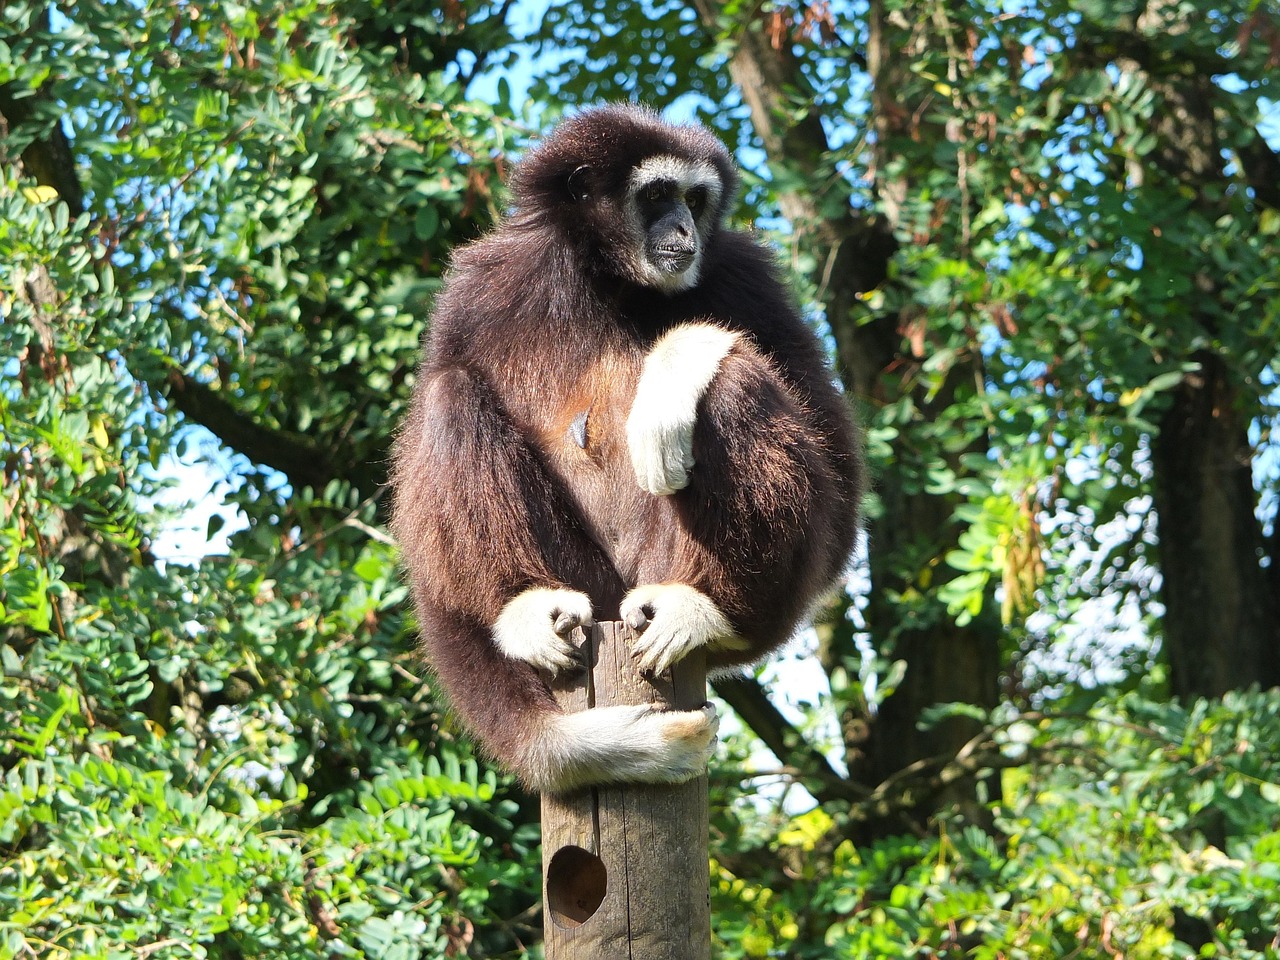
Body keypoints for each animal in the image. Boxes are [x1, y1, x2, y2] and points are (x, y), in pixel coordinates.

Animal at [389, 104, 861, 794]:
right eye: (659, 194)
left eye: (696, 199)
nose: (684, 226)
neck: (610, 282)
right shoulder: (479, 286)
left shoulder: (744, 273)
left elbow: (839, 477)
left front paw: (676, 363)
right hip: (587, 582)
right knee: (450, 392)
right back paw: (527, 603)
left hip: (654, 576)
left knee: (735, 382)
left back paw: (704, 607)